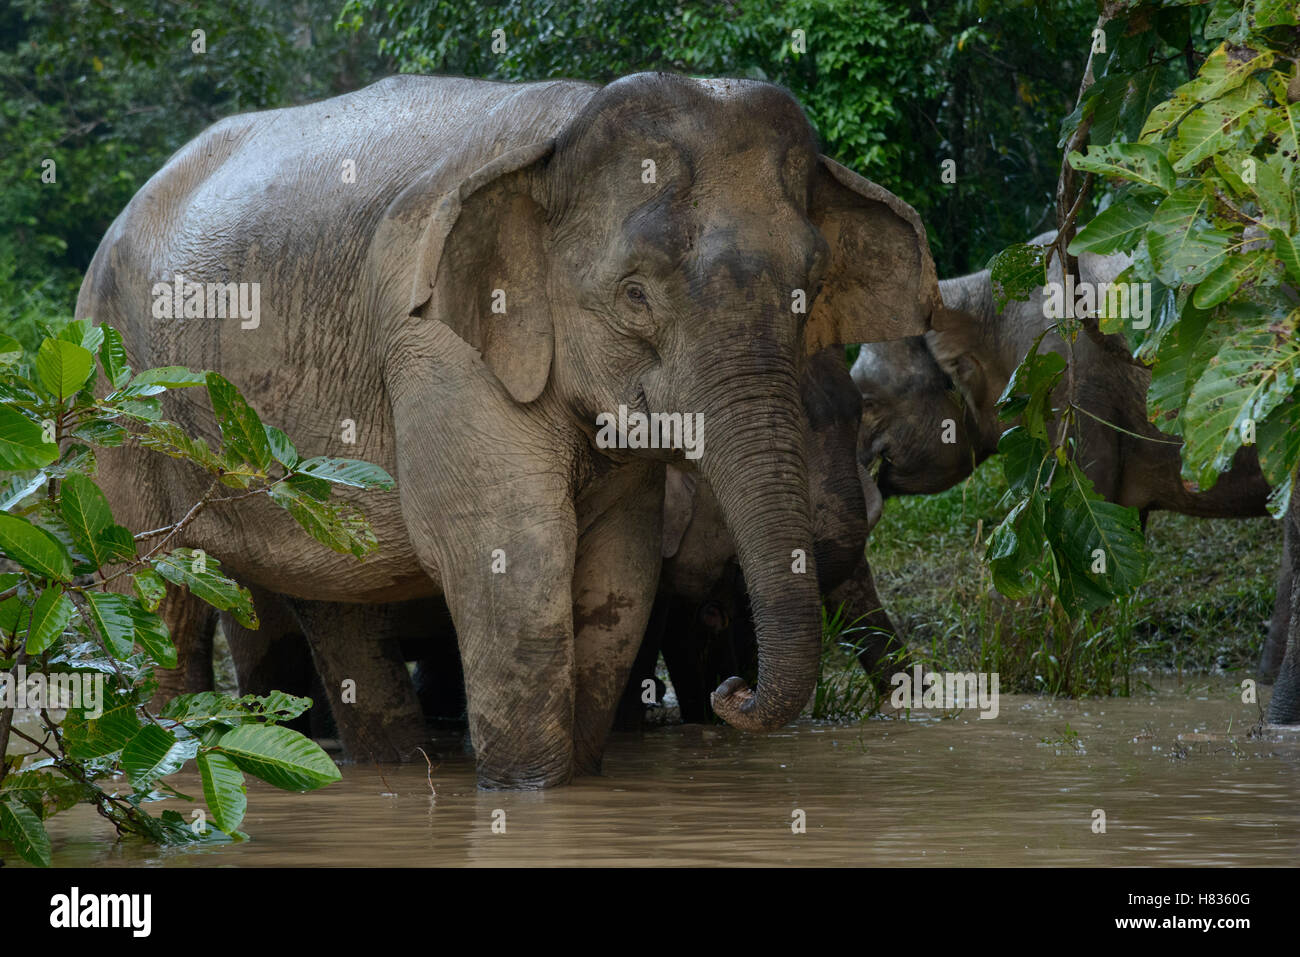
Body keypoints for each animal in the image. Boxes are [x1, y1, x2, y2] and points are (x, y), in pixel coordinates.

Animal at [79, 72, 938, 788]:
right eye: (634, 293)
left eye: (810, 288)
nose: (734, 691)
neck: (554, 143)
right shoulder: (434, 346)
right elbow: (512, 558)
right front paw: (528, 793)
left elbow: (617, 572)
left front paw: (577, 779)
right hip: (116, 394)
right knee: (158, 594)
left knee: (332, 598)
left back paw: (395, 767)